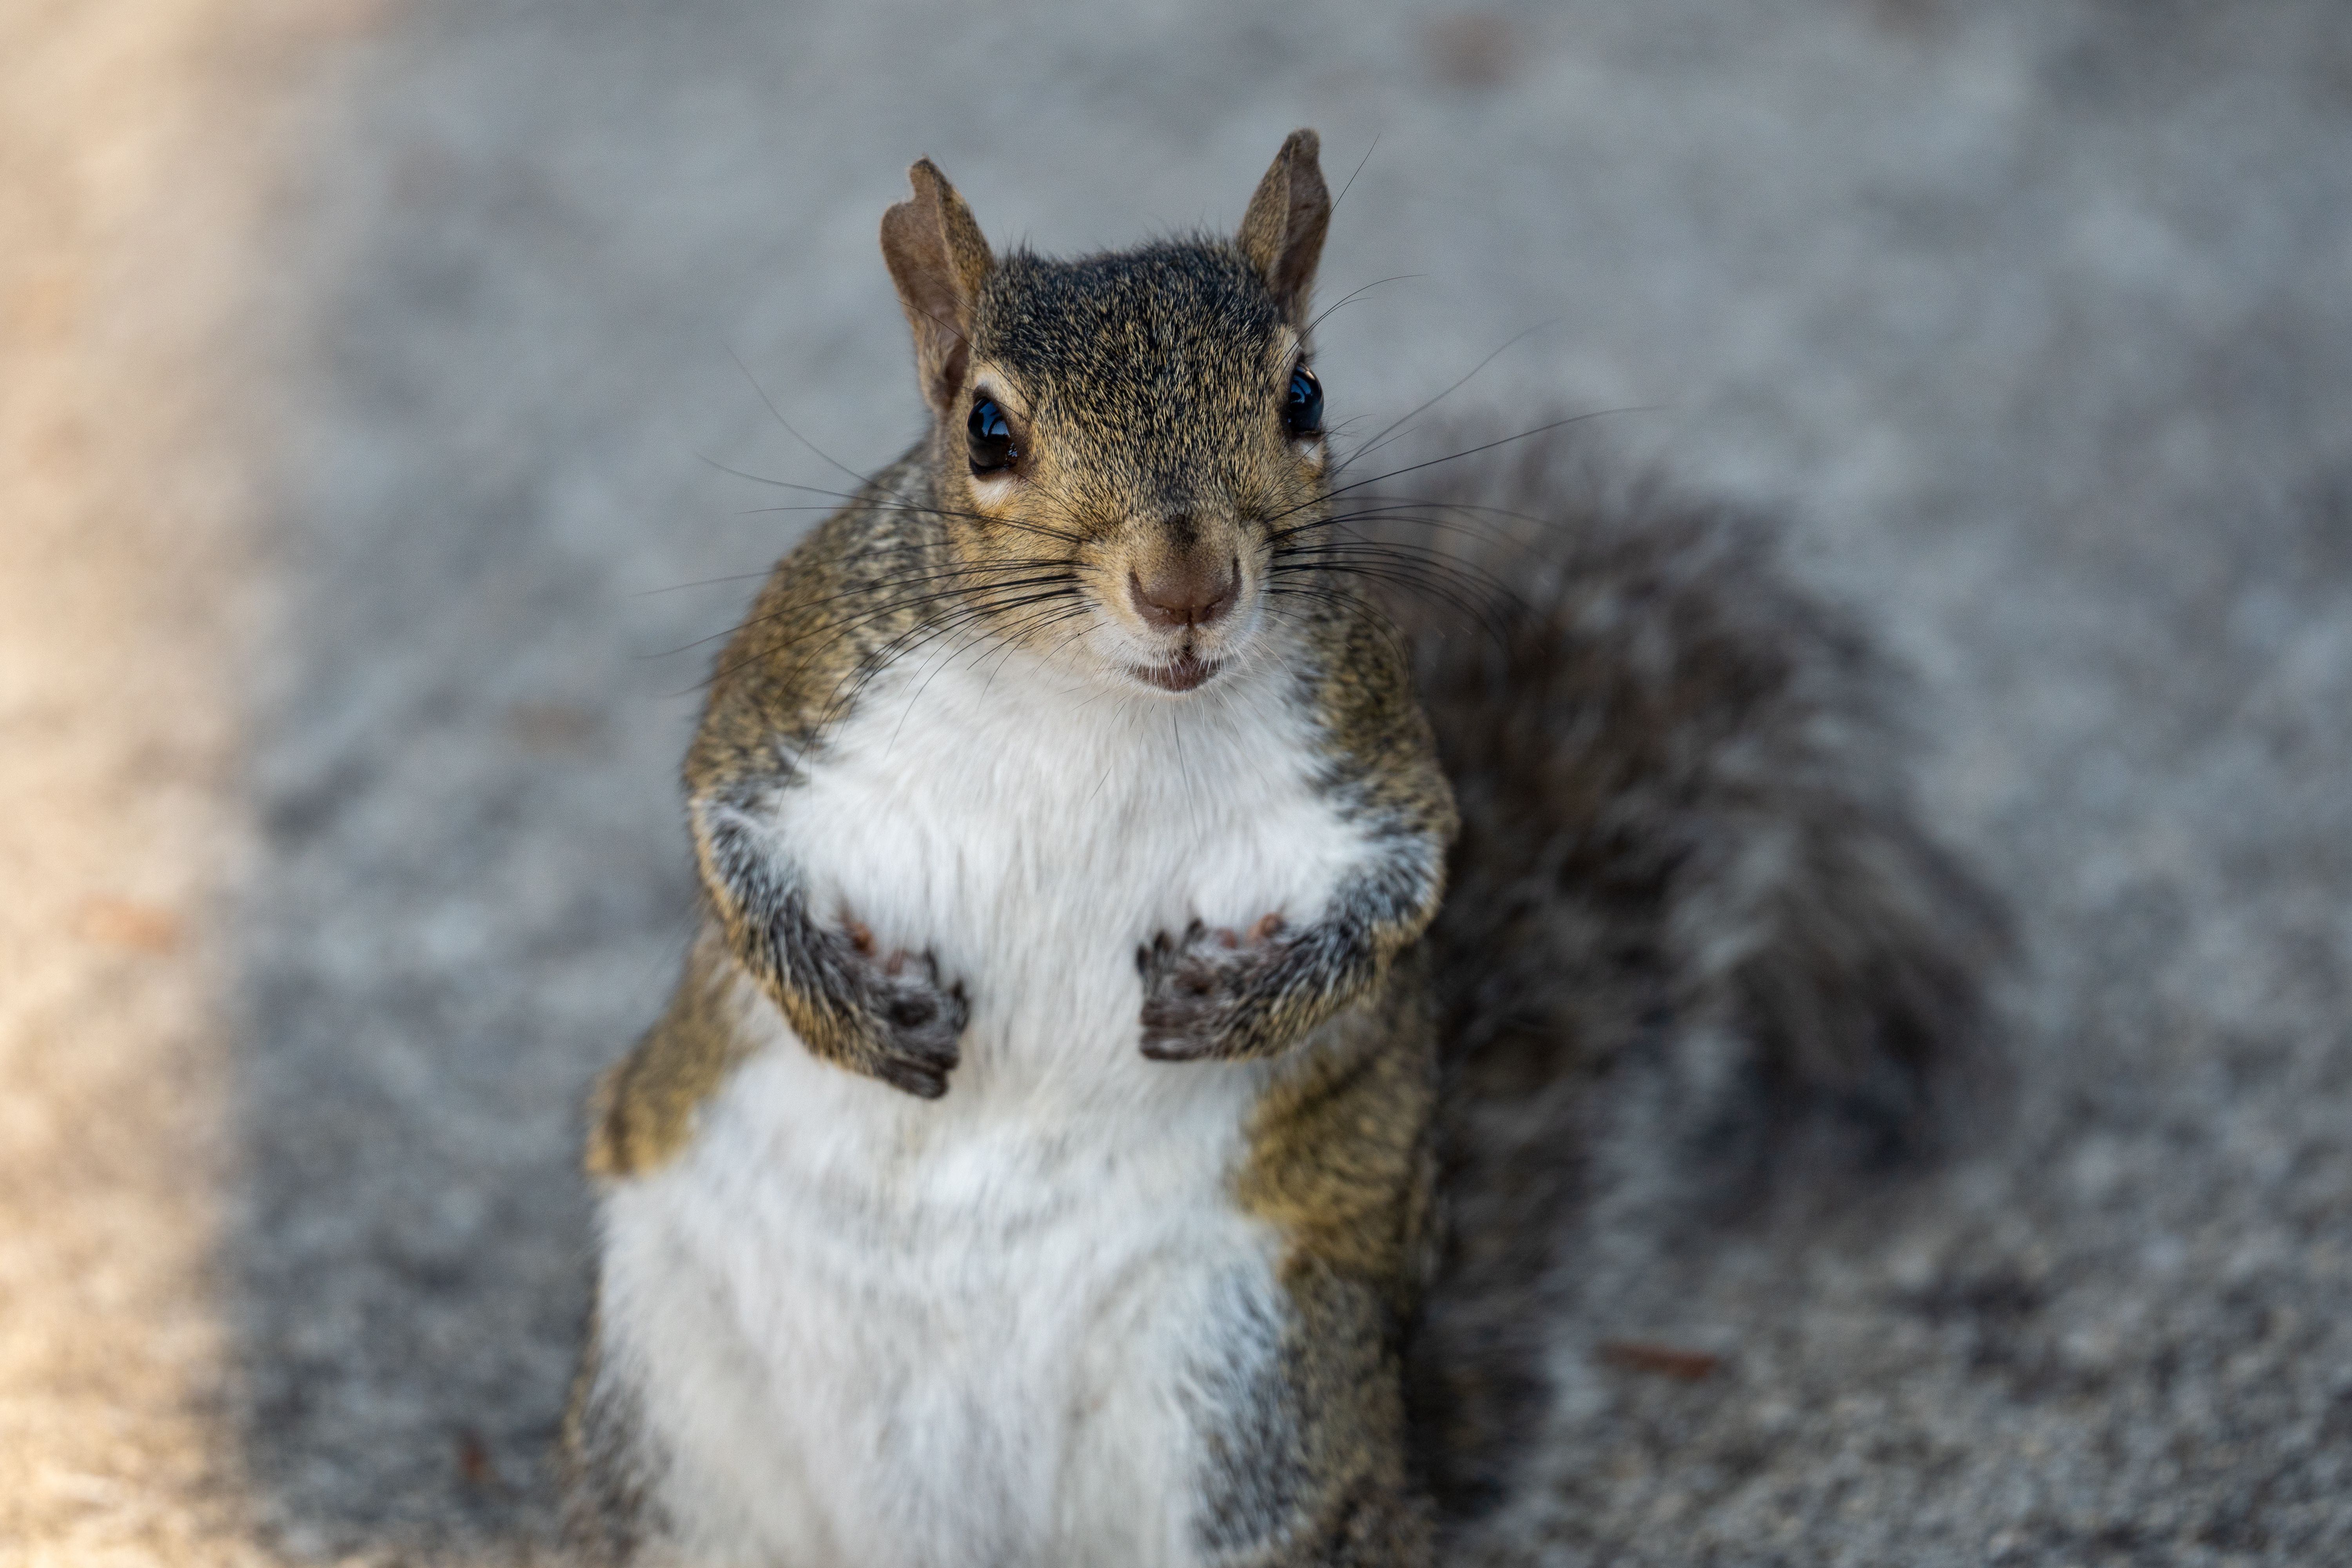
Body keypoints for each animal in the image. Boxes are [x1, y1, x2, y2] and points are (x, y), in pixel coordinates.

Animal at [560, 130, 2005, 1566]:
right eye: (986, 428)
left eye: (1304, 394)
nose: (1187, 587)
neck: (1098, 704)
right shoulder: (801, 692)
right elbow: (727, 835)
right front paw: (851, 1010)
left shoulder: (1367, 758)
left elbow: (1402, 890)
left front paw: (1240, 1004)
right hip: (674, 1420)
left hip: (1250, 1394)